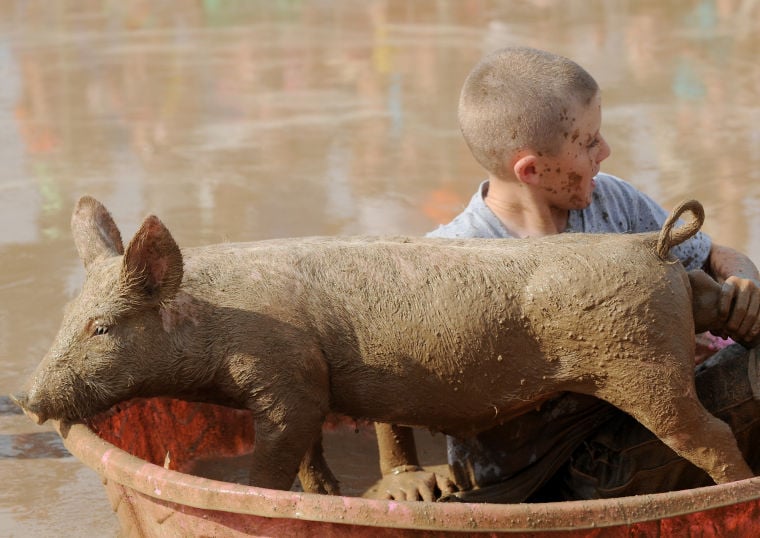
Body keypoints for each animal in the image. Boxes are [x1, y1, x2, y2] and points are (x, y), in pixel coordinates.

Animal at [12, 195, 754, 495]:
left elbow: (275, 461)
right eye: (68, 313)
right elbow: (310, 454)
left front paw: (266, 497)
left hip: (641, 362)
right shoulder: (307, 380)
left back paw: (735, 493)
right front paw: (327, 494)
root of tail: (652, 247)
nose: (25, 397)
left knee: (709, 433)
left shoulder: (281, 374)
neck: (214, 321)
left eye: (101, 327)